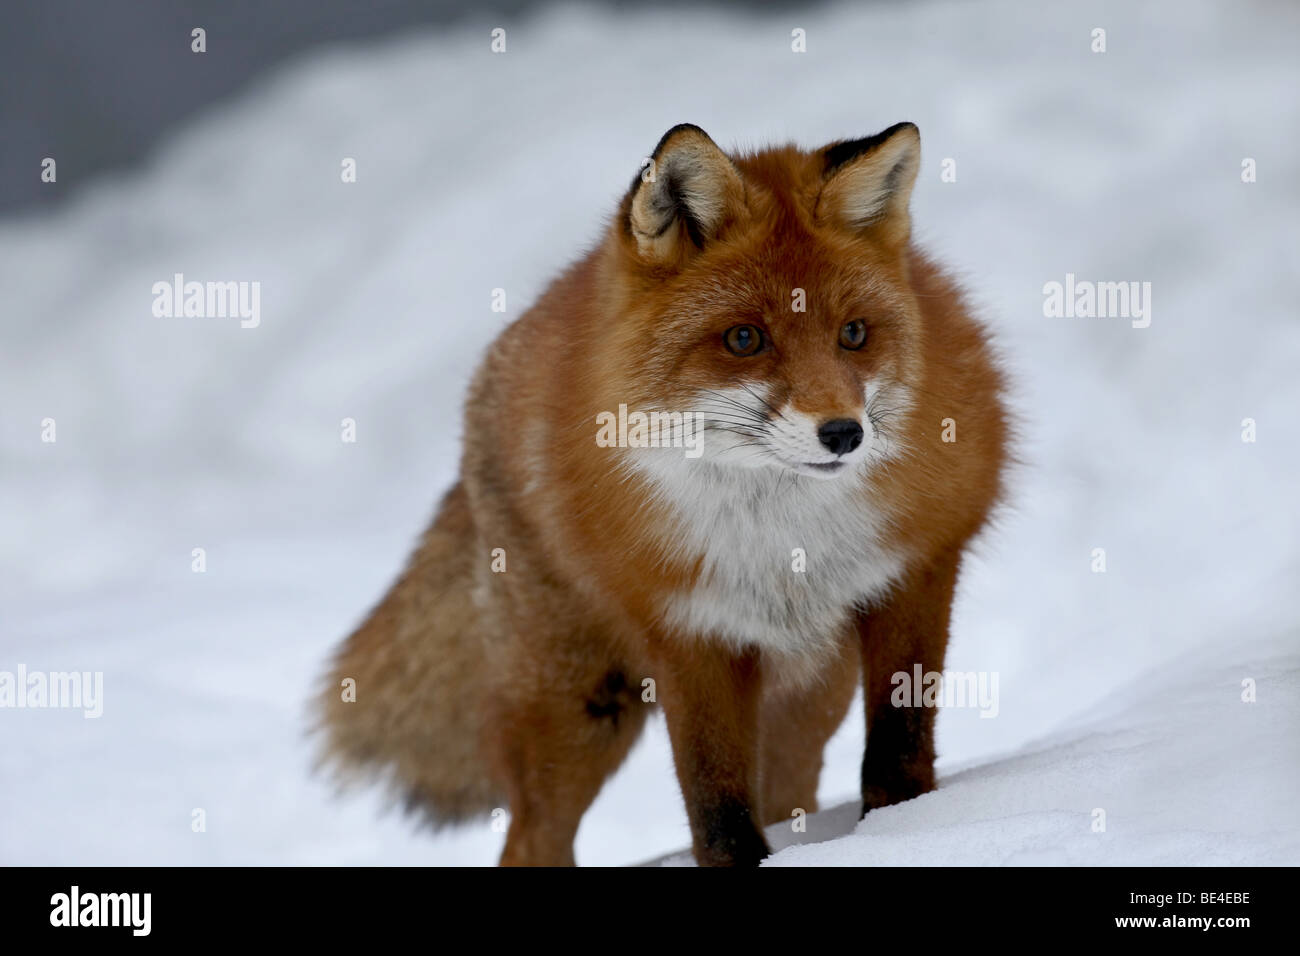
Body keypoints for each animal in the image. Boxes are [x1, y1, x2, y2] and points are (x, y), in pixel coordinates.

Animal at [316, 121, 1008, 866]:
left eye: (853, 334)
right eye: (744, 338)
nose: (844, 434)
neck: (784, 544)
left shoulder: (915, 573)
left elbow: (898, 745)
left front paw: (905, 827)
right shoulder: (685, 627)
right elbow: (714, 802)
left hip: (810, 691)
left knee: (789, 794)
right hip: (582, 705)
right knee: (532, 839)